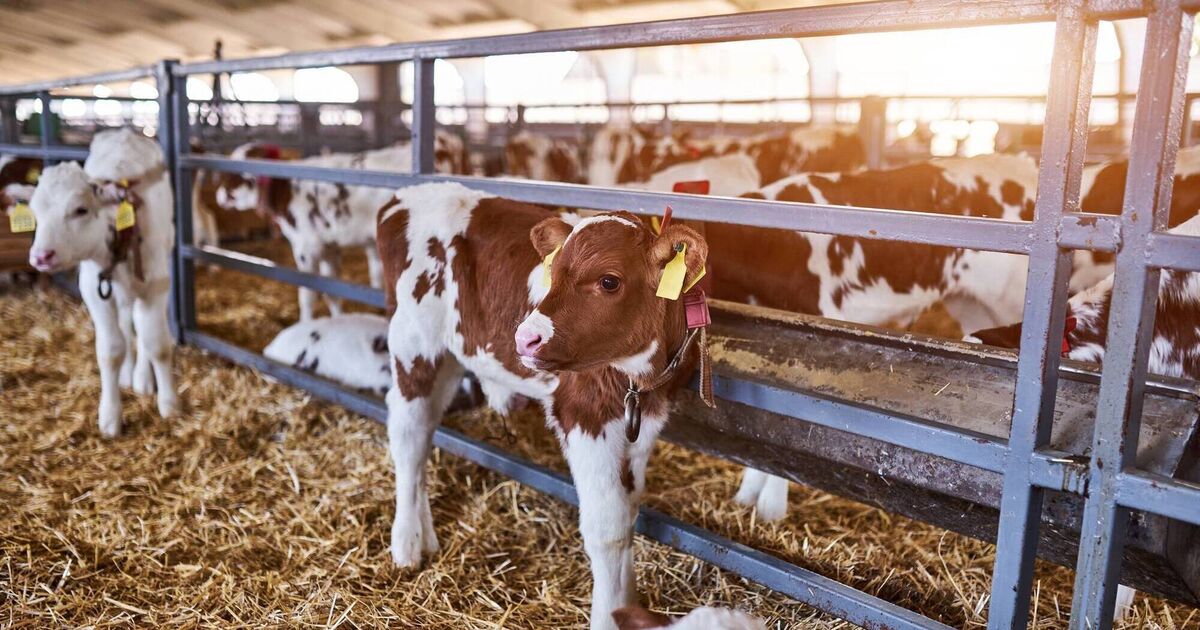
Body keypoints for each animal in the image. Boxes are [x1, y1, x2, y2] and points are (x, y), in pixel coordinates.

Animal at [25, 128, 179, 437]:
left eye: (80, 210)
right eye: (35, 212)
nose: (41, 256)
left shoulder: (156, 284)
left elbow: (156, 342)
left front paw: (169, 404)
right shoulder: (93, 290)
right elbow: (110, 350)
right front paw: (110, 416)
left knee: (139, 325)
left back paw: (142, 378)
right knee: (126, 325)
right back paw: (128, 374)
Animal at [213, 133, 468, 320]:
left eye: (237, 175)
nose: (219, 195)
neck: (288, 191)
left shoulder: (307, 248)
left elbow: (307, 295)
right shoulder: (329, 247)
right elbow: (332, 291)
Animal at [377, 182, 709, 630]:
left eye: (609, 281)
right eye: (554, 272)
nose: (524, 339)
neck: (638, 380)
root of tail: (406, 194)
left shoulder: (647, 422)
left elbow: (629, 510)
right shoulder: (584, 415)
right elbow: (609, 527)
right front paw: (609, 614)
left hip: (450, 353)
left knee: (426, 430)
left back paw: (424, 535)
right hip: (414, 344)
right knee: (408, 434)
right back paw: (406, 544)